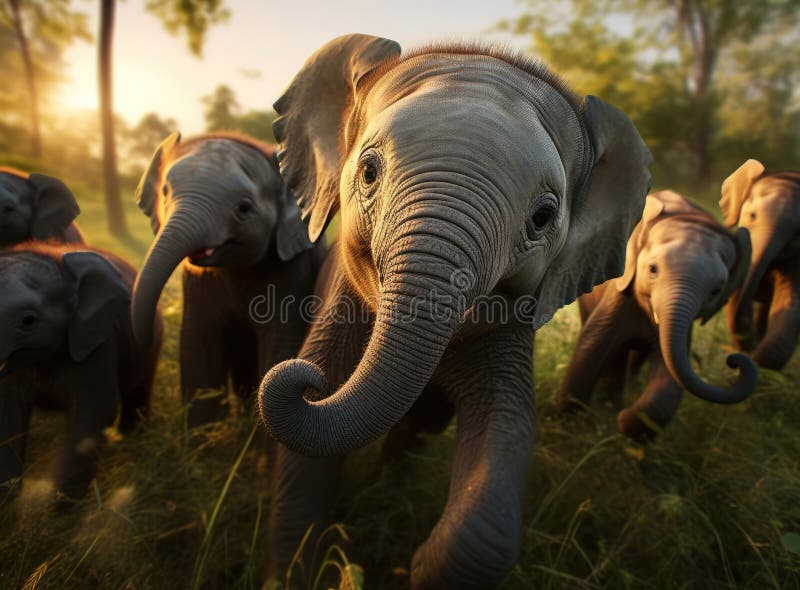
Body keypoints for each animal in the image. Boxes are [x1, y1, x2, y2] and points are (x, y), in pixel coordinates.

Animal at [0, 242, 162, 501]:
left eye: (28, 320)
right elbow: (8, 415)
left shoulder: (98, 343)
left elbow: (95, 411)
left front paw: (63, 507)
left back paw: (133, 440)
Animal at [131, 131, 327, 427]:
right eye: (165, 192)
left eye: (244, 209)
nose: (149, 338)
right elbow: (198, 346)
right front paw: (205, 436)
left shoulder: (294, 269)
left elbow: (280, 346)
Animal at [256, 35, 652, 589]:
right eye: (369, 172)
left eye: (543, 217)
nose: (302, 379)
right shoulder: (342, 300)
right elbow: (303, 466)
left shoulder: (512, 326)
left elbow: (504, 429)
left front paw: (420, 564)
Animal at [557, 190, 757, 440]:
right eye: (652, 269)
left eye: (716, 291)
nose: (734, 360)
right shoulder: (621, 291)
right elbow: (592, 344)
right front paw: (575, 428)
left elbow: (668, 375)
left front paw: (624, 421)